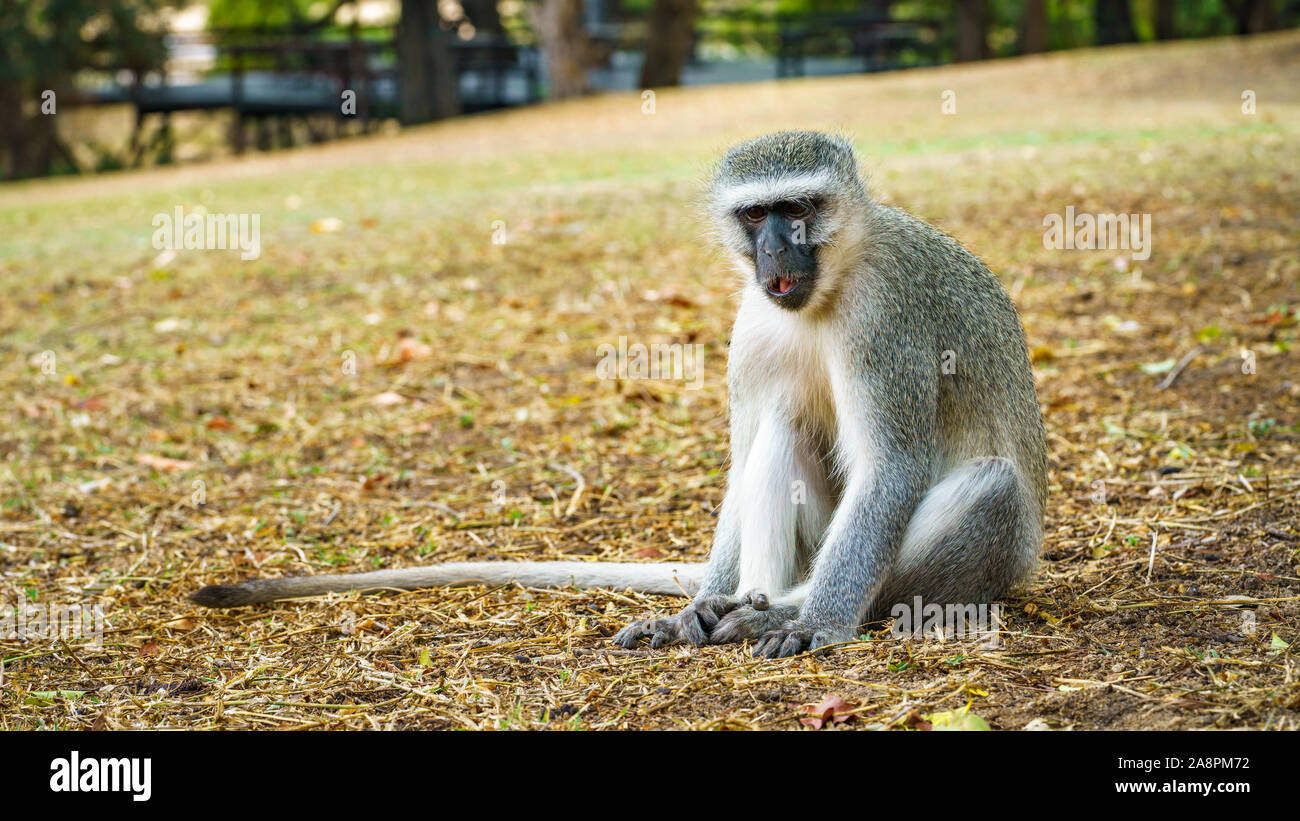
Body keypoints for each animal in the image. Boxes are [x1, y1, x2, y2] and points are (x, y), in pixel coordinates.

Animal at [190, 130, 1048, 660]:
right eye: (756, 215)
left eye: (800, 210)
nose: (776, 252)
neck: (827, 289)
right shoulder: (750, 328)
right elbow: (749, 455)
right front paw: (695, 607)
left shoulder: (885, 318)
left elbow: (890, 468)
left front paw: (819, 622)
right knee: (776, 432)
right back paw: (733, 603)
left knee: (989, 486)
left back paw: (781, 607)